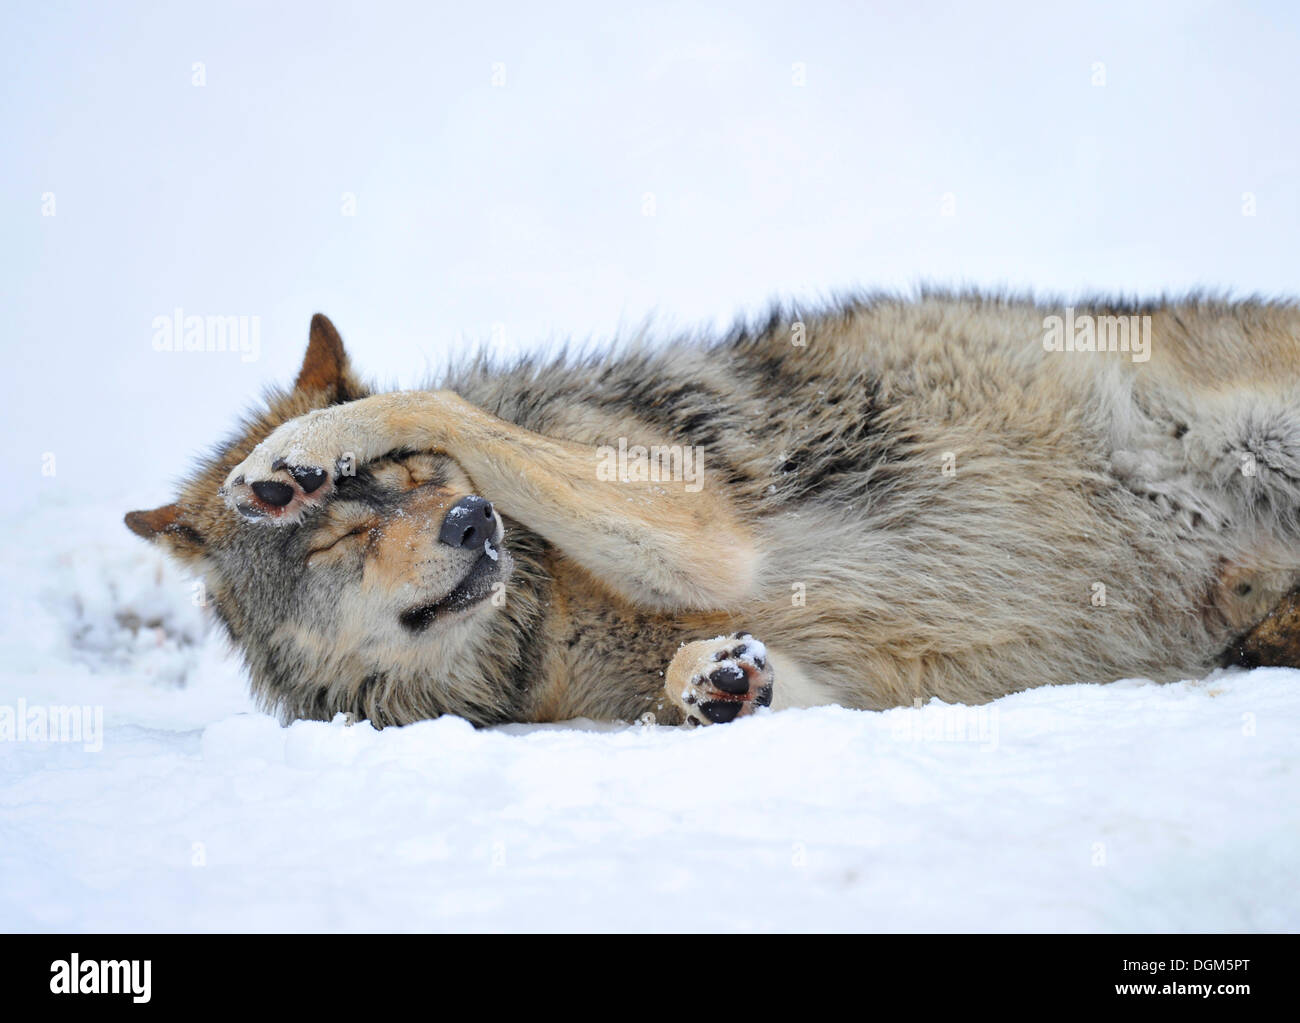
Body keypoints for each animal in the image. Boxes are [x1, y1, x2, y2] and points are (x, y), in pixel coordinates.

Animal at [125, 294, 1300, 727]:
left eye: (419, 479)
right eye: (344, 536)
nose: (473, 525)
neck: (536, 619)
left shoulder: (703, 536)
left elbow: (438, 402)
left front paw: (287, 456)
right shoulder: (825, 689)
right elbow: (721, 685)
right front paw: (710, 682)